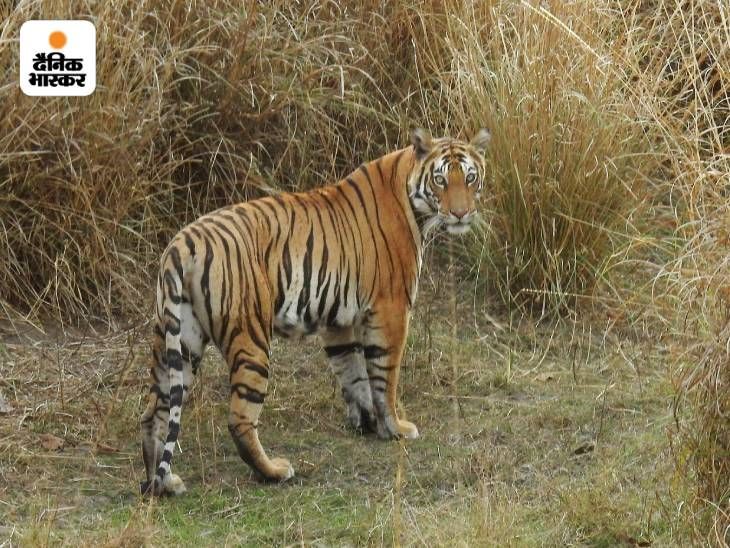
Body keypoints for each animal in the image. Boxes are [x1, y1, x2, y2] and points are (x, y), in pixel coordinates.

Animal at [140, 128, 491, 496]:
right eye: (440, 180)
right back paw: (274, 471)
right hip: (250, 338)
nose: (461, 214)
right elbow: (385, 375)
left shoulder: (339, 320)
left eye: (470, 178)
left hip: (180, 341)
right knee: (239, 418)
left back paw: (161, 484)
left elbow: (353, 373)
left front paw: (368, 423)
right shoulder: (391, 309)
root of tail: (181, 244)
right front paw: (395, 427)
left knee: (154, 413)